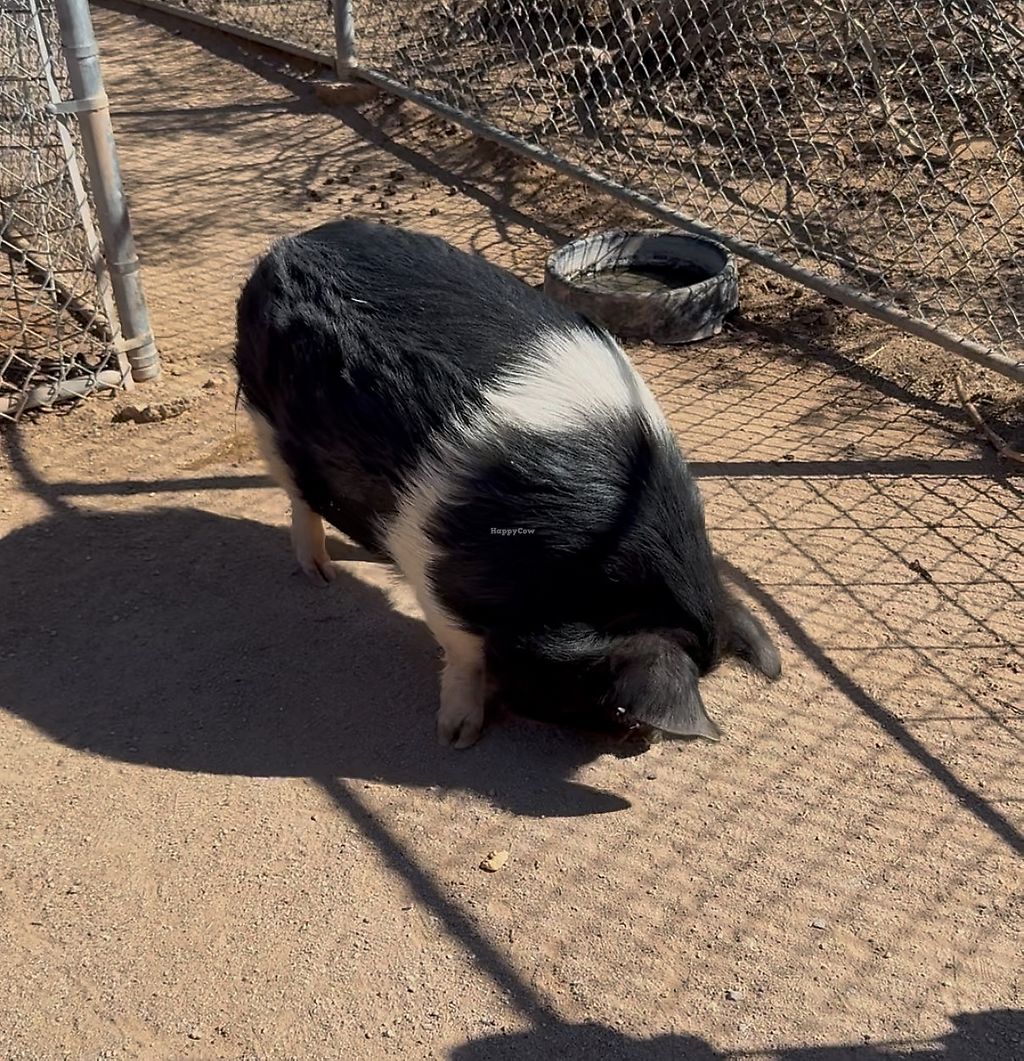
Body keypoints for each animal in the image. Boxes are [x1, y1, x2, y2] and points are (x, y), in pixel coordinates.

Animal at [234, 218, 781, 748]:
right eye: (607, 695)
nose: (641, 741)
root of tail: (287, 245)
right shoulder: (437, 572)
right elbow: (465, 655)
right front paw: (457, 739)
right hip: (266, 420)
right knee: (299, 498)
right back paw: (320, 574)